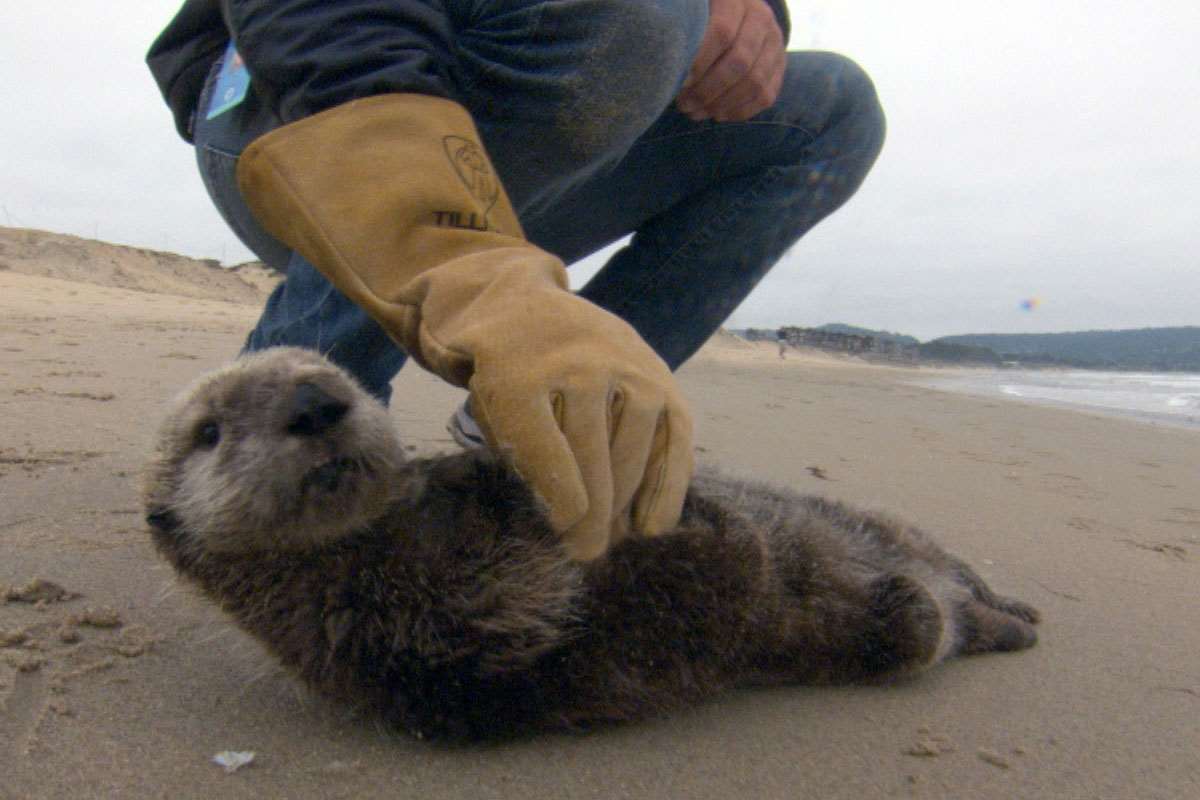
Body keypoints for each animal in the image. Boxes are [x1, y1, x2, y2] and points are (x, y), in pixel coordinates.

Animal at [143, 347, 1038, 741]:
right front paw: (706, 525)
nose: (313, 401)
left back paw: (1013, 605)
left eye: (340, 378)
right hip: (897, 618)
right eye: (209, 432)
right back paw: (988, 622)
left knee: (948, 575)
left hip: (897, 526)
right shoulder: (457, 648)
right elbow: (703, 586)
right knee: (921, 624)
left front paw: (491, 466)